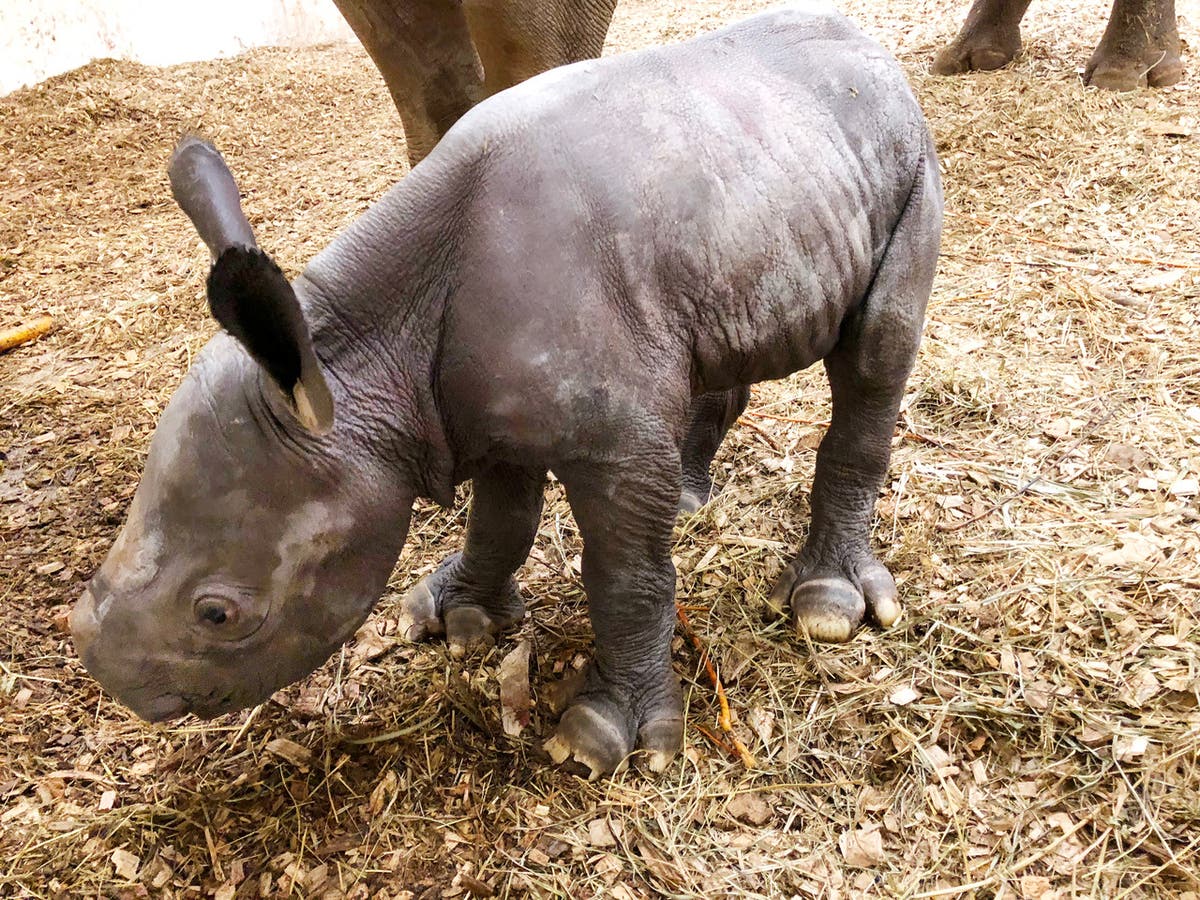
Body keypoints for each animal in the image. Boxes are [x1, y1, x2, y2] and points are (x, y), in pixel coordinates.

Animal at [71, 4, 943, 778]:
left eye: (219, 615)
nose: (106, 672)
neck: (365, 356)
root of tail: (876, 52)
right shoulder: (471, 404)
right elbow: (502, 518)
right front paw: (454, 621)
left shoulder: (612, 445)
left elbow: (626, 574)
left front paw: (604, 741)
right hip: (759, 181)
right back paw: (696, 502)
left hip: (910, 159)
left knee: (875, 359)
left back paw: (826, 607)